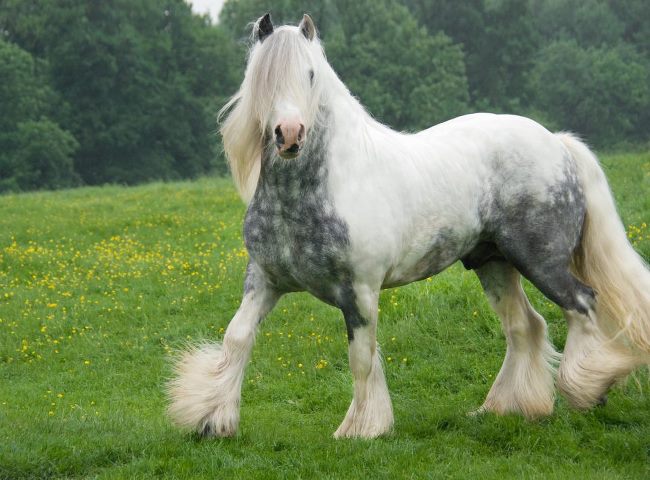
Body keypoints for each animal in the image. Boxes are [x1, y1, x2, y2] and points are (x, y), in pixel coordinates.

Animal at [168, 13, 650, 439]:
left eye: (309, 75)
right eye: (262, 78)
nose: (289, 135)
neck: (322, 186)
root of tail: (558, 143)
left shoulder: (360, 292)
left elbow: (361, 359)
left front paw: (361, 430)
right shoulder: (264, 281)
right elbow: (236, 339)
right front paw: (213, 421)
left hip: (541, 262)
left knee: (582, 304)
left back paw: (589, 390)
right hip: (494, 263)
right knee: (525, 327)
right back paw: (504, 409)